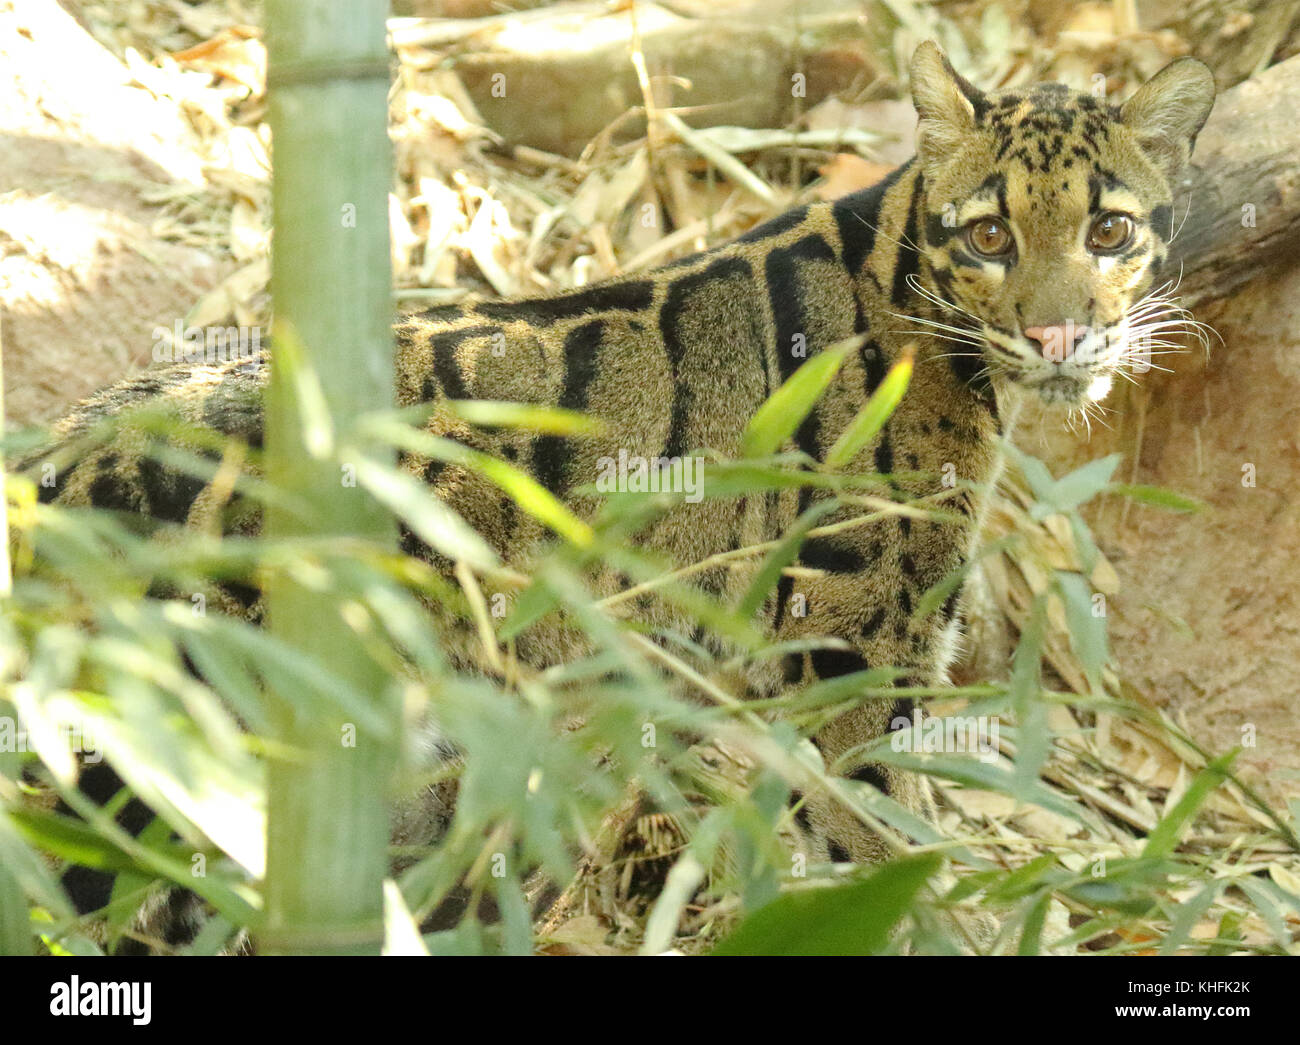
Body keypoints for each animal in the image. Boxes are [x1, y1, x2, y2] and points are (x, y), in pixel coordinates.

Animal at [19, 41, 1215, 946]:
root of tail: (51, 468)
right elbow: (892, 844)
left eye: (1109, 230)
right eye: (990, 235)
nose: (1057, 334)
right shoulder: (848, 656)